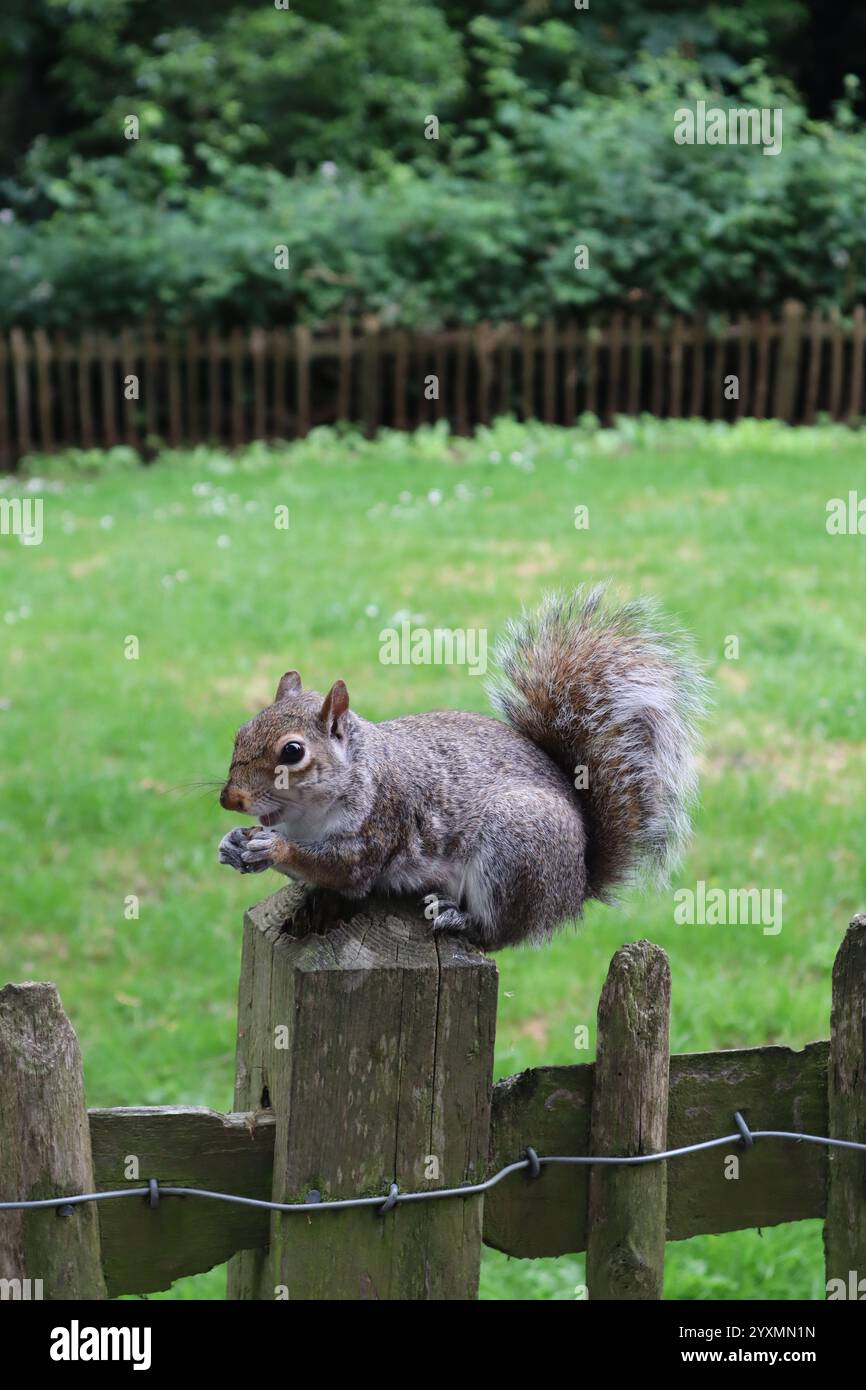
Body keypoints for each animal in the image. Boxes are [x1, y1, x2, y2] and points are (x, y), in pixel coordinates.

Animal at [218, 584, 707, 950]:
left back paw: (459, 918)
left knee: (498, 933)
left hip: (515, 847)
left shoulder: (379, 826)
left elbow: (344, 870)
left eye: (292, 752)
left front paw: (274, 850)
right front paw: (234, 845)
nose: (229, 799)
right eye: (240, 731)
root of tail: (575, 887)